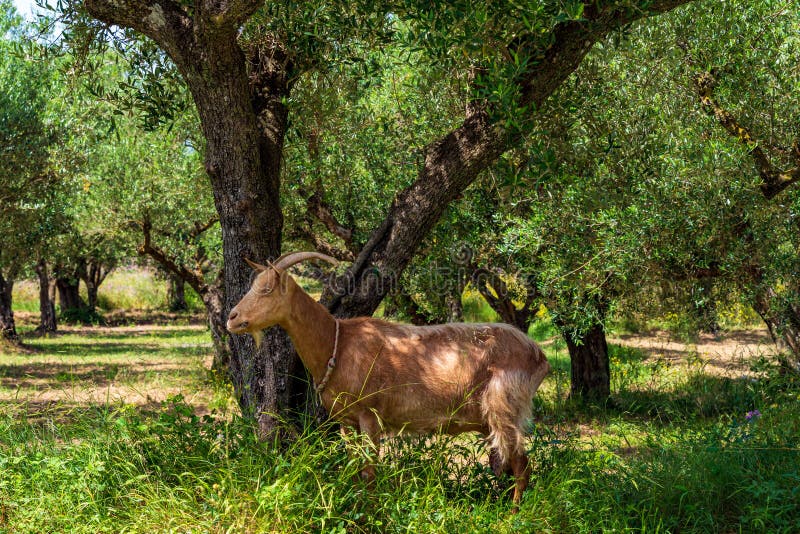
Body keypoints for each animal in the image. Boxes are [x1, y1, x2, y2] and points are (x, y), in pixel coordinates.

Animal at [226, 251, 550, 504]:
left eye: (267, 289)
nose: (232, 318)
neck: (336, 342)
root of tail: (538, 354)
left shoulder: (371, 416)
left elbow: (370, 472)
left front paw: (369, 514)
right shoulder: (346, 421)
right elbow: (354, 468)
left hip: (505, 408)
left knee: (522, 466)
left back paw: (512, 516)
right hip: (487, 419)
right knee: (507, 464)